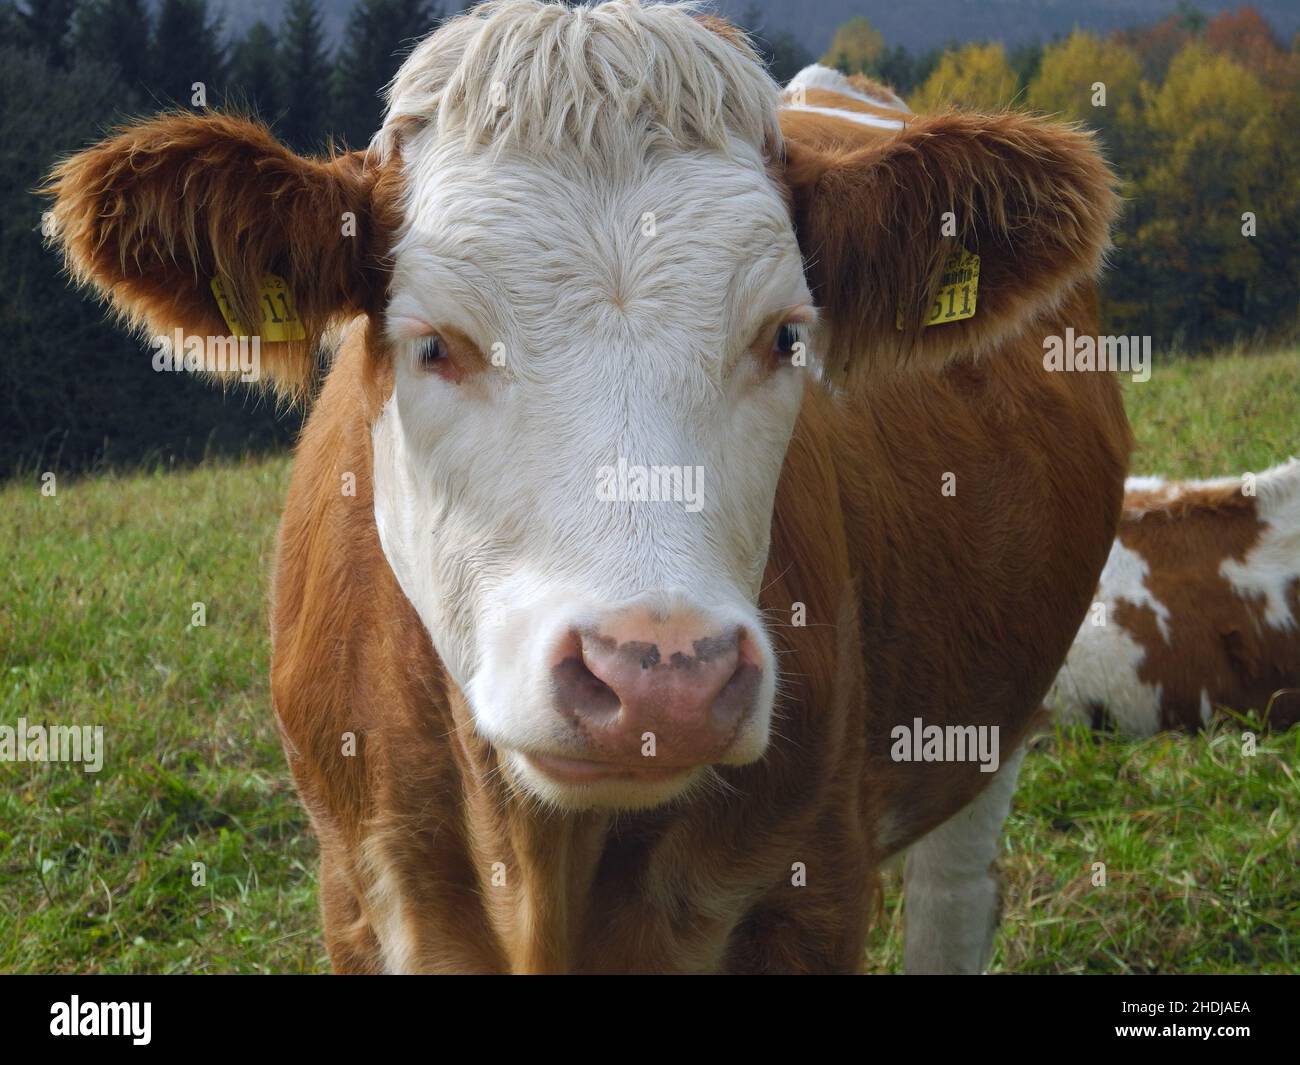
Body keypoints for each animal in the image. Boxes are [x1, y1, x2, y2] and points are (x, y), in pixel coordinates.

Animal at [46, 0, 1128, 973]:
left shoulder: (815, 884)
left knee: (956, 892)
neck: (541, 864)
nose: (661, 676)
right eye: (434, 344)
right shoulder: (356, 891)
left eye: (785, 336)